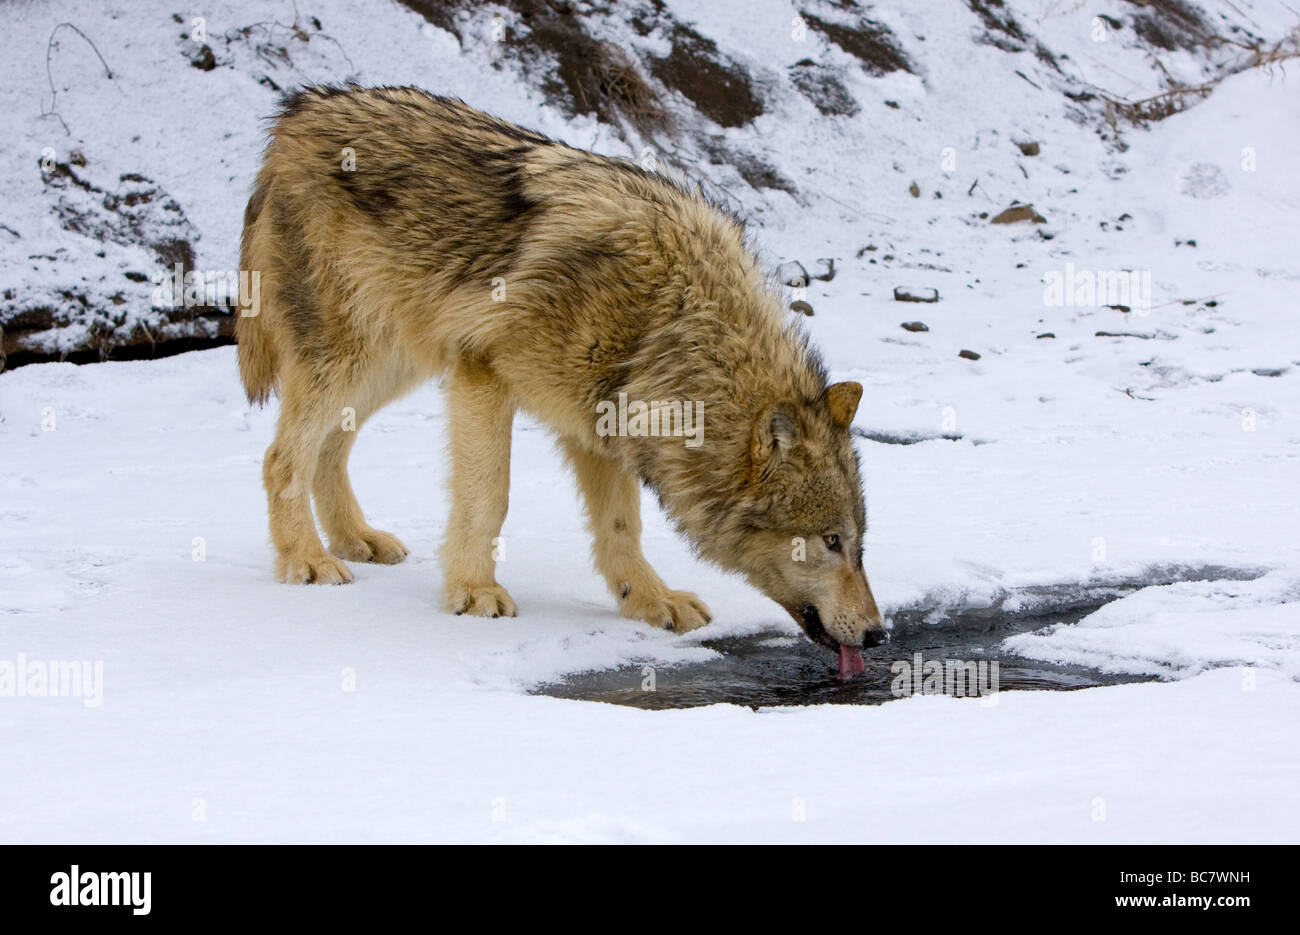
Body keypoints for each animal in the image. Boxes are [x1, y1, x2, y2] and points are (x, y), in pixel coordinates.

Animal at [238, 85, 885, 674]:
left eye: (858, 544)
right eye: (831, 542)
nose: (880, 634)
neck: (667, 318)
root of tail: (297, 114)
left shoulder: (600, 423)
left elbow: (622, 527)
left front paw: (650, 602)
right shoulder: (484, 375)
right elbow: (489, 499)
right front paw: (473, 593)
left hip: (389, 366)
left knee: (330, 449)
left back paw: (356, 540)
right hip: (349, 359)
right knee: (280, 457)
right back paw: (308, 560)